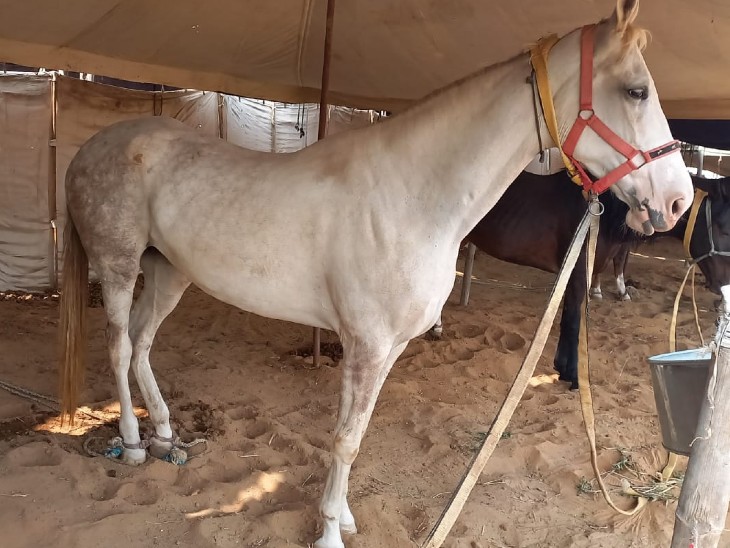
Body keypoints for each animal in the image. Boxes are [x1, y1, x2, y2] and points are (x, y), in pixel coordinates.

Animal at [58, 2, 691, 546]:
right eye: (636, 90)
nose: (678, 201)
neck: (411, 195)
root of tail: (89, 148)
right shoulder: (365, 344)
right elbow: (345, 440)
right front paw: (330, 534)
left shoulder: (387, 347)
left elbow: (354, 435)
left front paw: (343, 517)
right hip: (119, 265)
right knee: (119, 346)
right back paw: (134, 443)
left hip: (168, 272)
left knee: (143, 342)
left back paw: (166, 436)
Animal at [431, 173, 730, 390]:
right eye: (725, 228)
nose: (723, 285)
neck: (599, 216)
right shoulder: (577, 272)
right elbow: (574, 321)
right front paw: (572, 376)